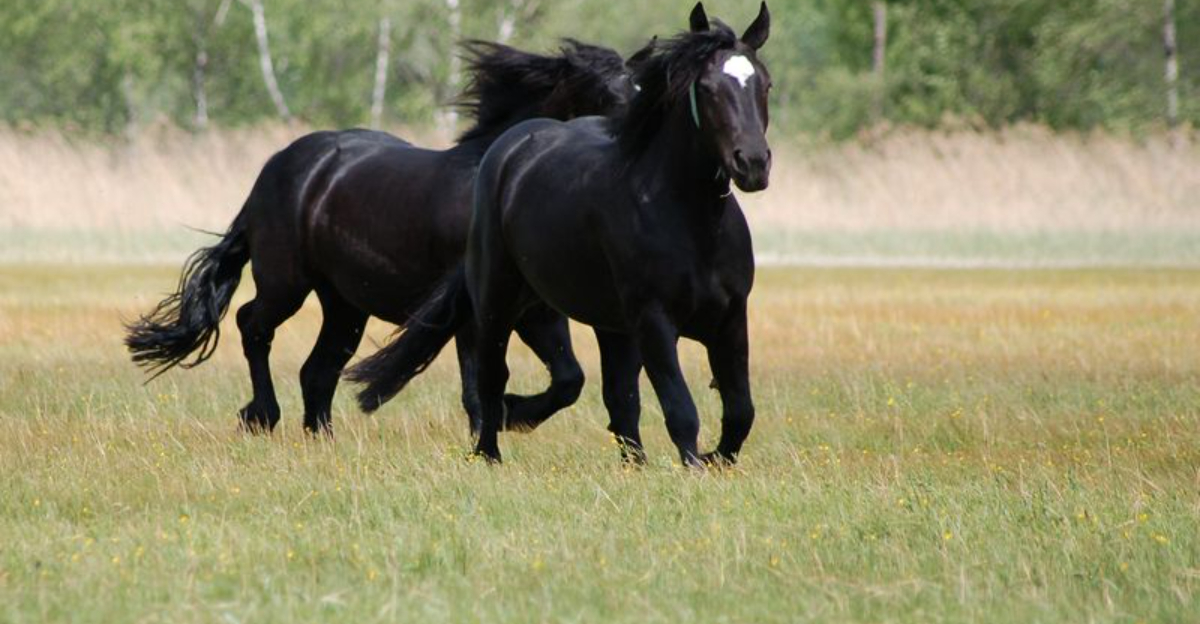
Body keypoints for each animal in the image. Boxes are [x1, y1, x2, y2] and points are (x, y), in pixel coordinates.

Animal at [126, 39, 651, 435]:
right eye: (602, 91)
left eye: (636, 85)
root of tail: (276, 168)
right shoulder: (481, 312)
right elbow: (480, 384)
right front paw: (495, 428)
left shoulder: (536, 309)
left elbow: (568, 379)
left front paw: (510, 417)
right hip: (286, 282)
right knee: (253, 325)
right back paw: (261, 416)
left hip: (345, 306)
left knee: (317, 370)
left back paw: (321, 437)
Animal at [346, 2, 772, 467]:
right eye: (708, 88)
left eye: (765, 83)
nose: (752, 163)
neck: (693, 225)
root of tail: (511, 146)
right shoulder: (654, 320)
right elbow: (682, 411)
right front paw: (695, 466)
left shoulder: (730, 319)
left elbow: (740, 412)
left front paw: (713, 458)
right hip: (498, 301)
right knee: (492, 378)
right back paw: (492, 447)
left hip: (608, 324)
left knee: (619, 398)